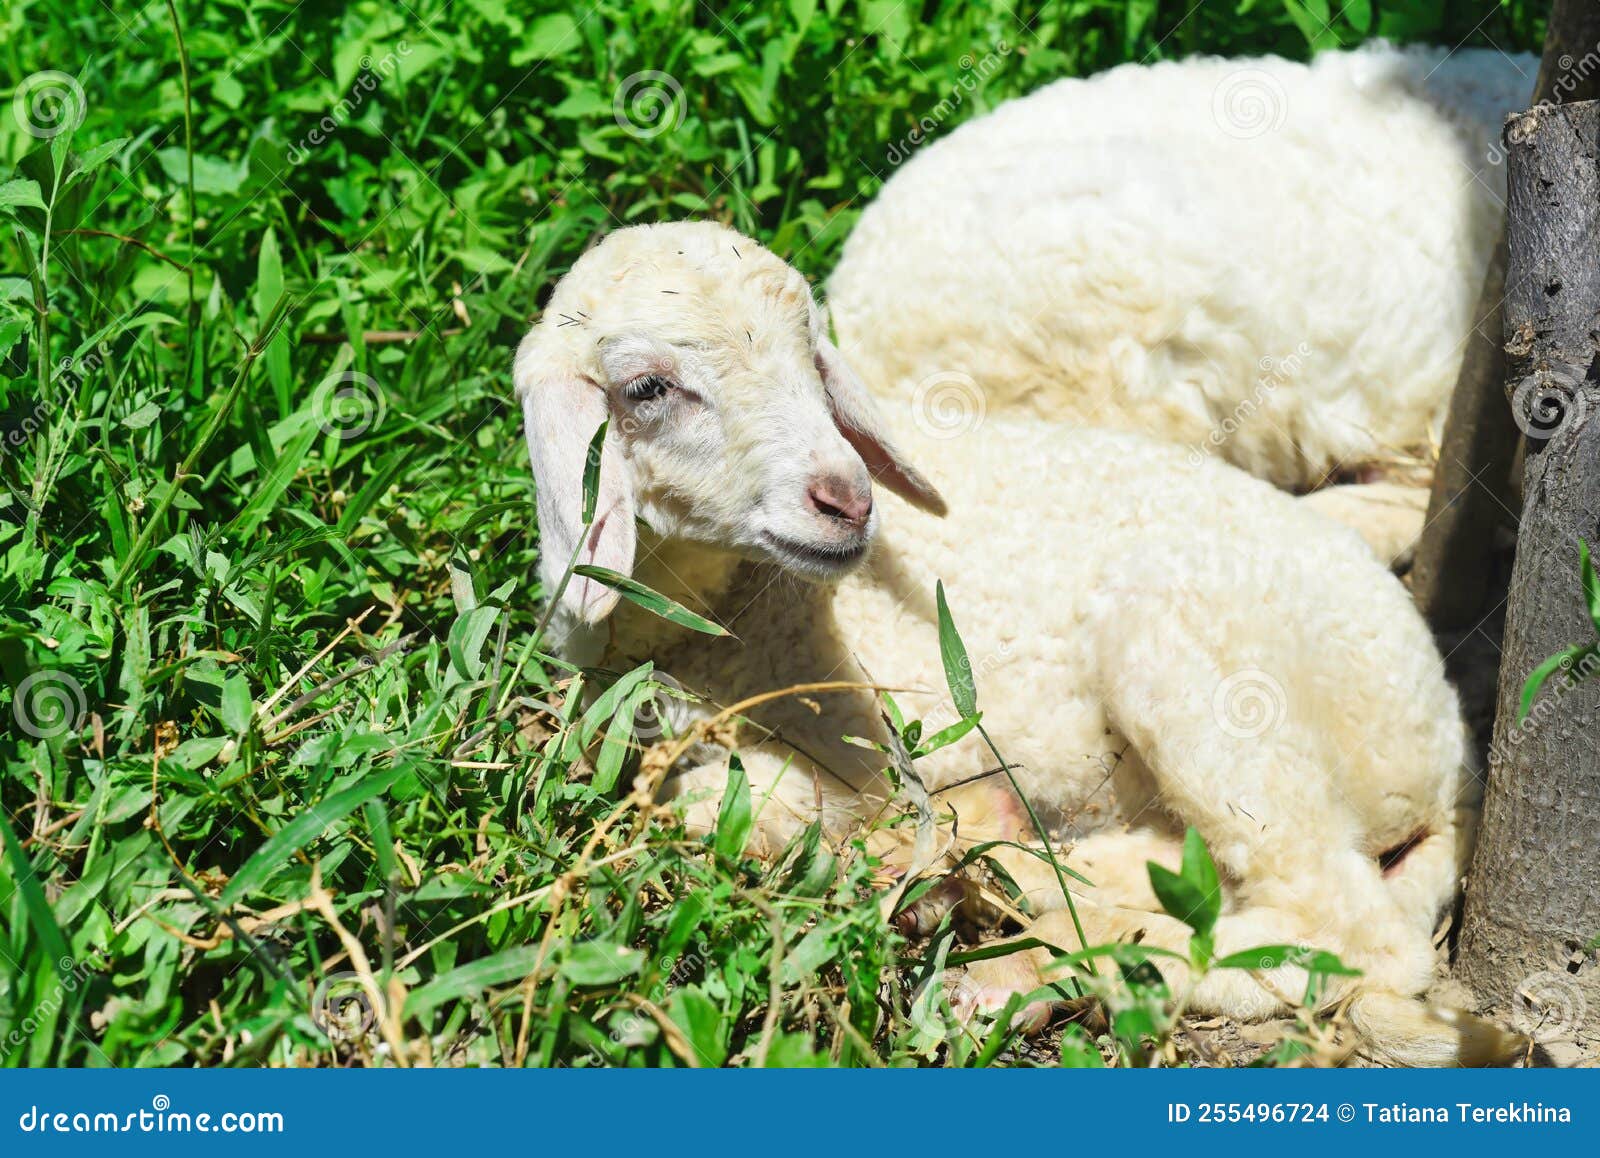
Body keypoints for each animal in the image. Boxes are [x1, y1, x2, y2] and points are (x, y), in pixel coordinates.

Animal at [515, 220, 1519, 1065]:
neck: (731, 624)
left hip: (1207, 669)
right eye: (647, 388)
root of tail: (1451, 748)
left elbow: (729, 804)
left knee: (1347, 935)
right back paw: (1026, 875)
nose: (848, 499)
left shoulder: (872, 746)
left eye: (812, 360)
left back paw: (1029, 940)